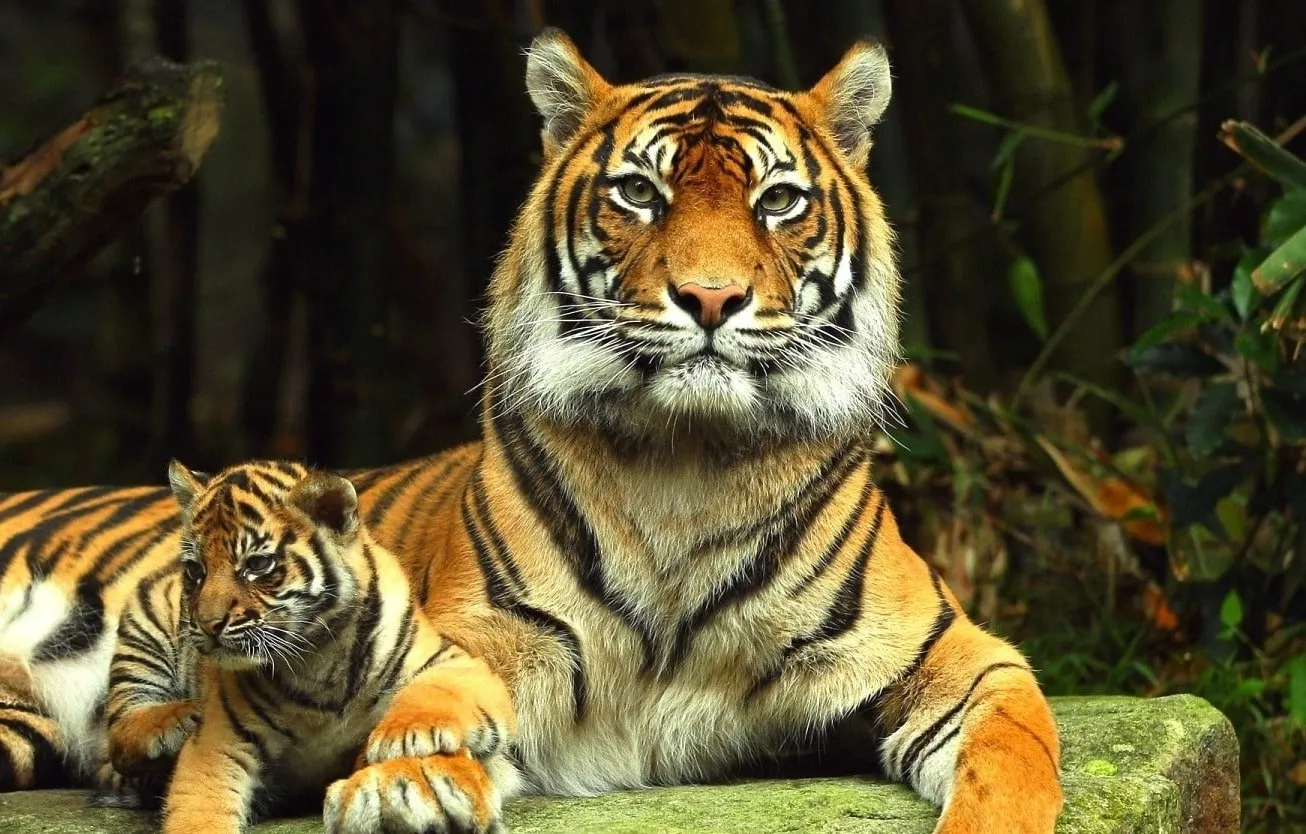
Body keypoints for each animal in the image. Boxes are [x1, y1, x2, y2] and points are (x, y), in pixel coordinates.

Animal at [95, 459, 518, 833]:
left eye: (257, 565)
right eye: (197, 570)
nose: (208, 624)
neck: (319, 657)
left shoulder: (456, 661)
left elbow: (437, 692)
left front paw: (403, 736)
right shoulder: (221, 741)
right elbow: (199, 808)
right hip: (145, 622)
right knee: (119, 730)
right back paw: (178, 719)